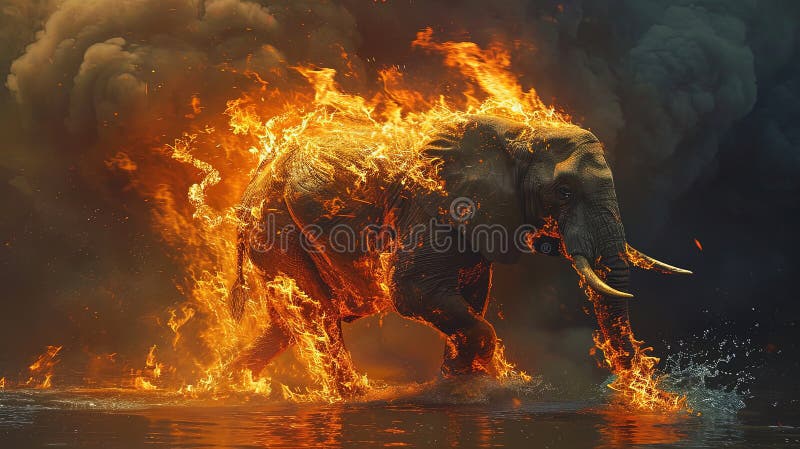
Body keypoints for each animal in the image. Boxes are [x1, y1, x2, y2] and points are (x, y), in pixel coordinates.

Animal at [228, 114, 691, 395]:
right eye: (563, 192)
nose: (646, 391)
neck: (519, 134)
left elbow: (469, 301)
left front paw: (457, 386)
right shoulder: (432, 207)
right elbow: (412, 292)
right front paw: (468, 387)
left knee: (291, 323)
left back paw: (226, 385)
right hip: (276, 228)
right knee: (317, 318)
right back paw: (356, 397)